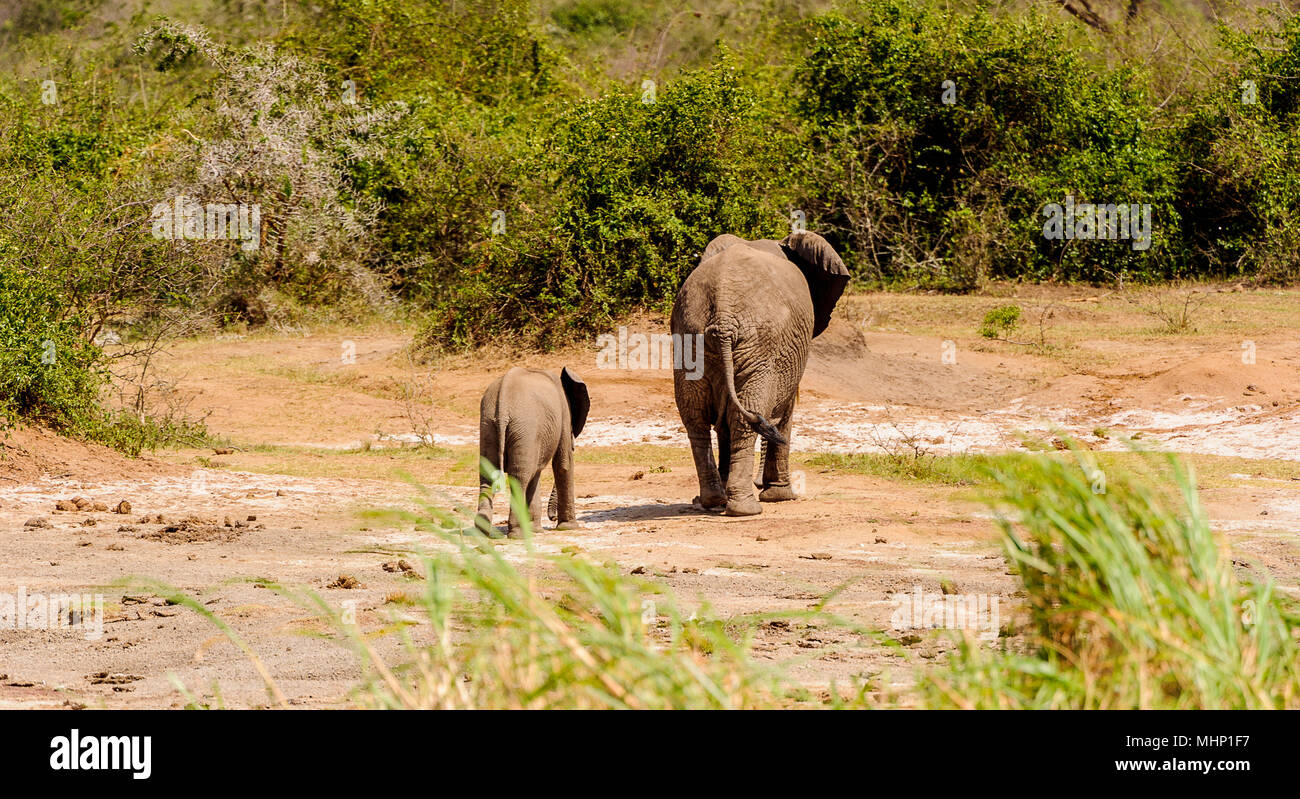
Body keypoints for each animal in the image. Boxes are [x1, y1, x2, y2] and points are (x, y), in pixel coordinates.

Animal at [475, 366, 590, 538]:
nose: (552, 517)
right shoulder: (563, 414)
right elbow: (563, 465)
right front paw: (569, 528)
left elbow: (536, 473)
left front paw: (535, 530)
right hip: (524, 427)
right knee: (520, 478)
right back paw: (517, 535)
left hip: (488, 425)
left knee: (489, 477)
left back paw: (481, 532)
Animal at [671, 231, 850, 517]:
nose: (759, 483)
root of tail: (723, 313)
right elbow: (784, 413)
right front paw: (781, 497)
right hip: (760, 346)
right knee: (746, 417)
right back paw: (746, 509)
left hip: (691, 337)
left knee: (695, 417)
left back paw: (712, 500)